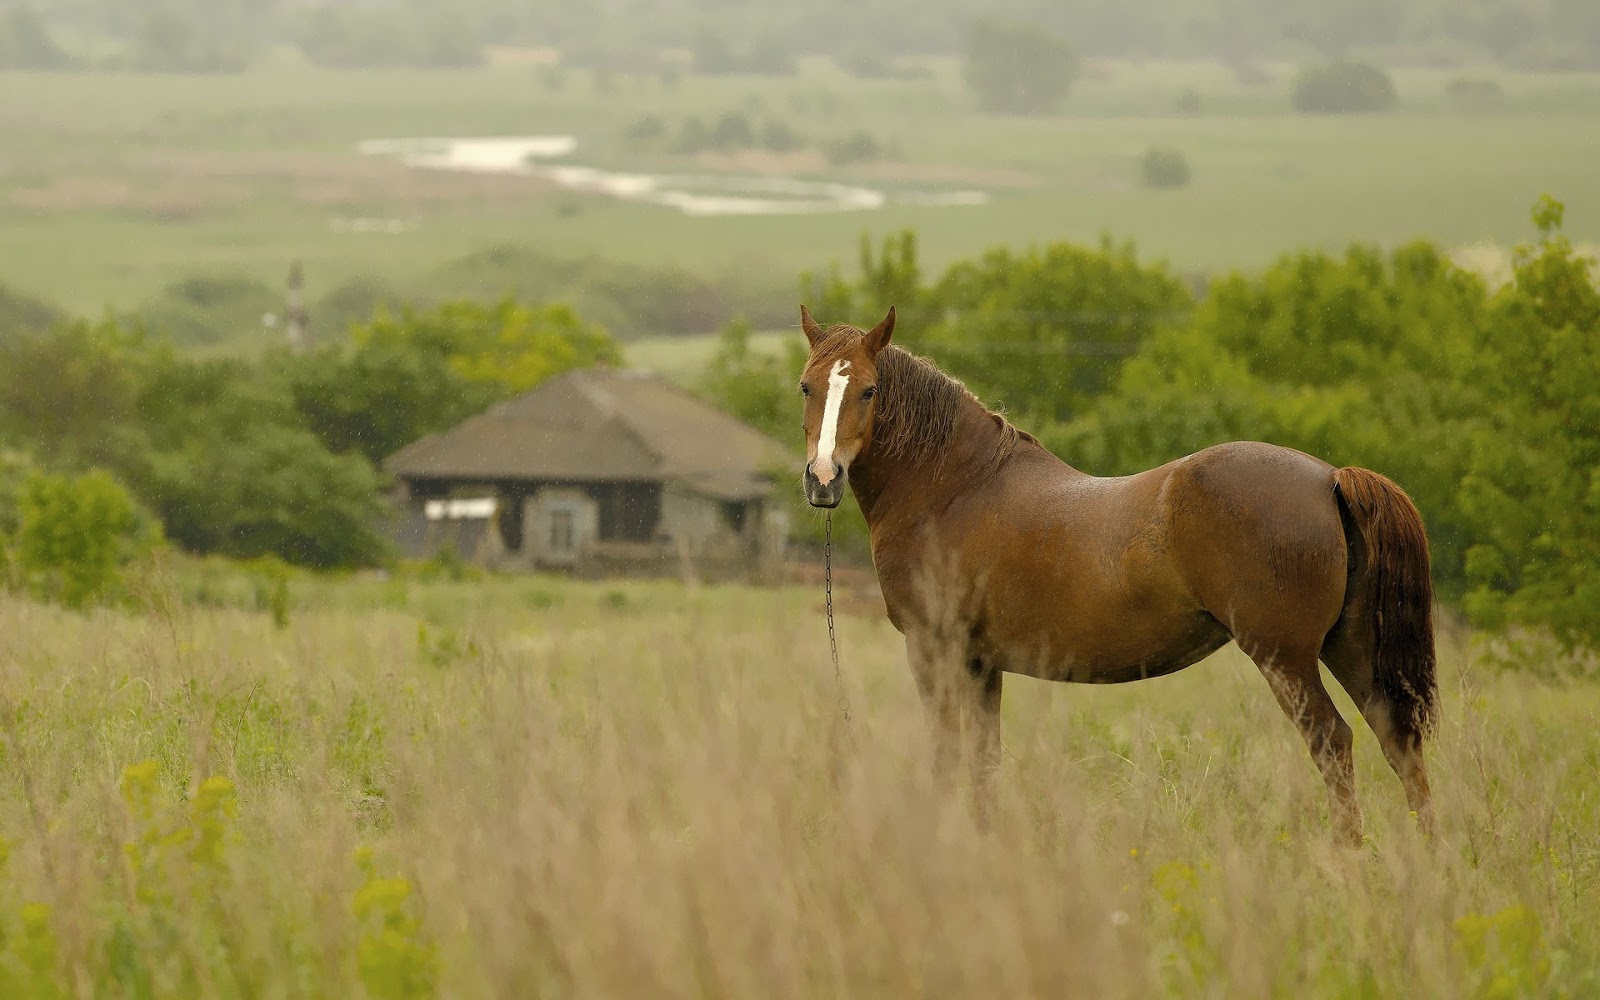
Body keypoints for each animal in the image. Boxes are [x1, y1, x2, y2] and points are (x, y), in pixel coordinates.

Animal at [796, 305, 1437, 846]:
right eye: (807, 386)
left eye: (869, 390)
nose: (823, 479)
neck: (953, 487)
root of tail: (1329, 478)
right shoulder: (981, 664)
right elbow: (983, 760)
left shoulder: (935, 650)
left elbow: (947, 755)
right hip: (1349, 647)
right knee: (1397, 741)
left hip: (1287, 659)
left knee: (1333, 742)